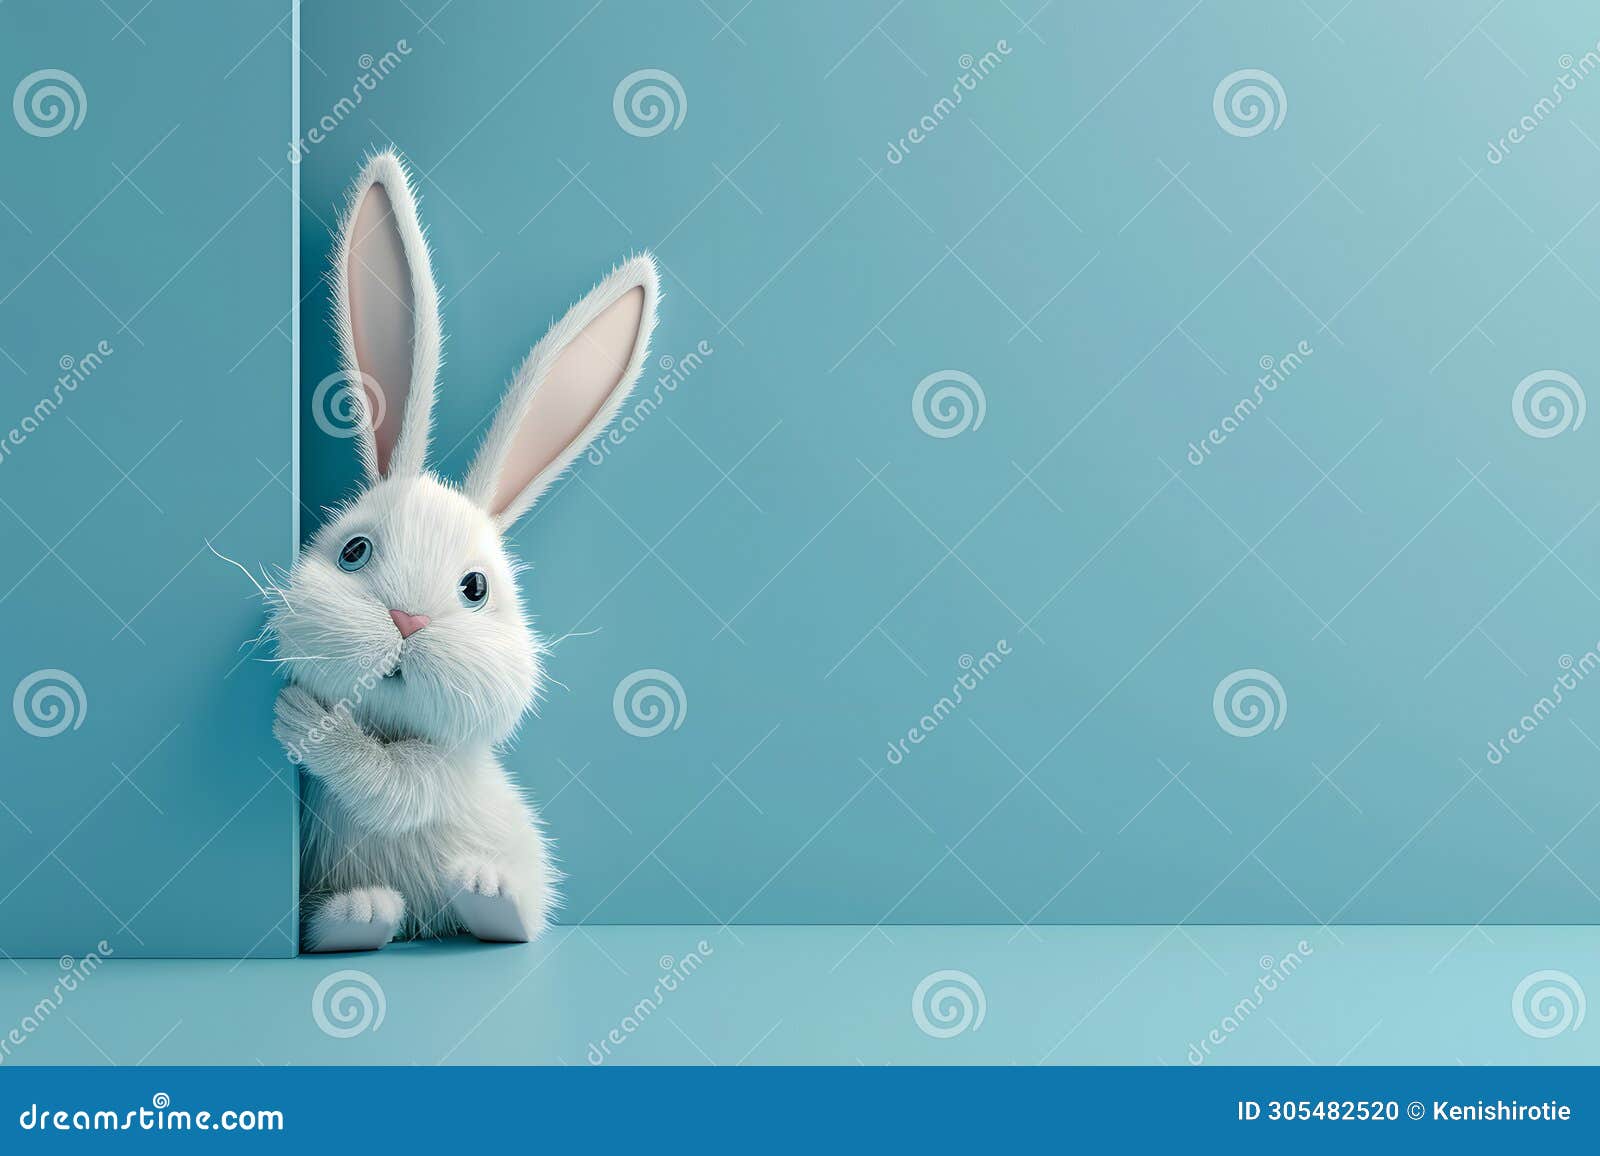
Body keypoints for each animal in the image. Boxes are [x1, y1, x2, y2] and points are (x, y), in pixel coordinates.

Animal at [269, 149, 659, 952]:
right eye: (354, 552)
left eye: (475, 589)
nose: (407, 623)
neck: (386, 720)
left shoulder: (438, 772)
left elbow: (388, 785)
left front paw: (305, 720)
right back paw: (360, 916)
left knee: (515, 921)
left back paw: (485, 893)